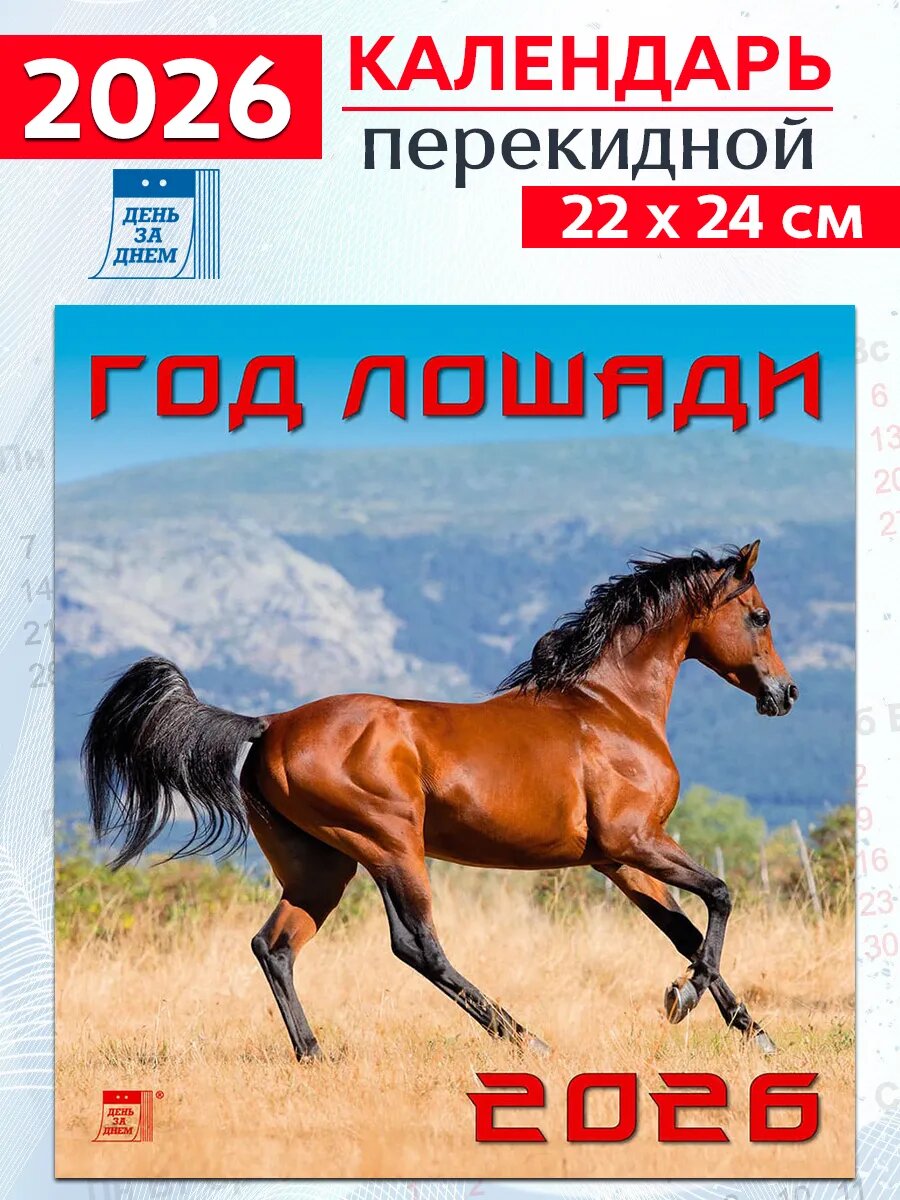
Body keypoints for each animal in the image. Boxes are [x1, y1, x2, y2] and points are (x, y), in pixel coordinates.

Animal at [84, 539, 797, 1060]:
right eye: (759, 615)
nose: (784, 694)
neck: (608, 708)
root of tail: (269, 726)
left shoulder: (618, 860)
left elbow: (684, 930)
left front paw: (753, 1033)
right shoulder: (636, 841)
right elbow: (720, 896)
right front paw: (686, 998)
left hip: (320, 866)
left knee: (274, 946)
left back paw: (315, 1054)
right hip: (391, 845)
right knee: (417, 945)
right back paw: (526, 1040)